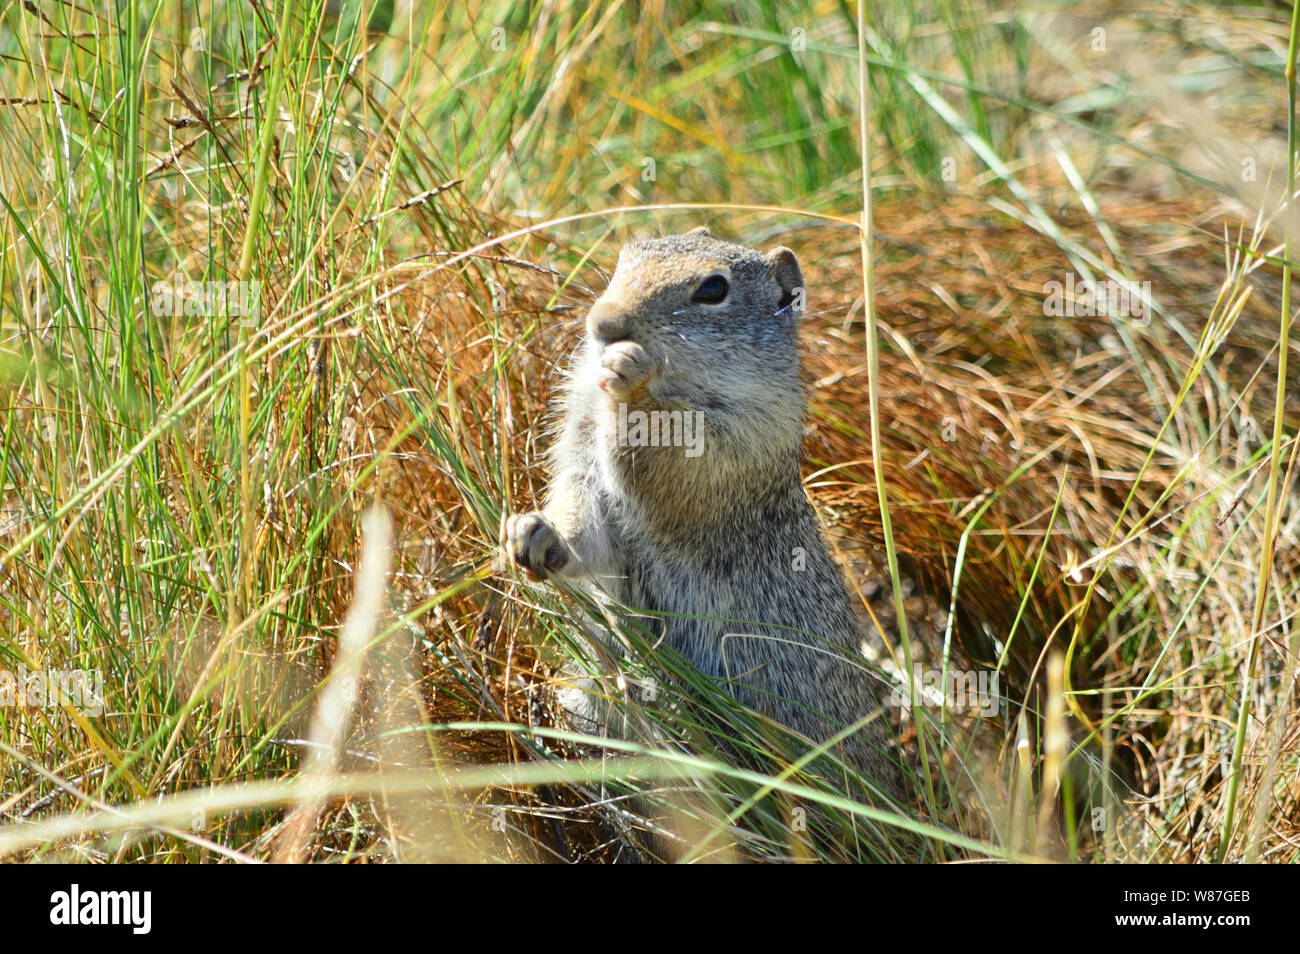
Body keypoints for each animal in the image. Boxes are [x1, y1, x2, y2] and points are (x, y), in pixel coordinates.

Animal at [504, 227, 900, 798]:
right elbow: (585, 527)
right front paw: (534, 532)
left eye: (713, 289)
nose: (604, 324)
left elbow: (671, 464)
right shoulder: (581, 447)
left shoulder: (736, 442)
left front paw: (631, 377)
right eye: (627, 256)